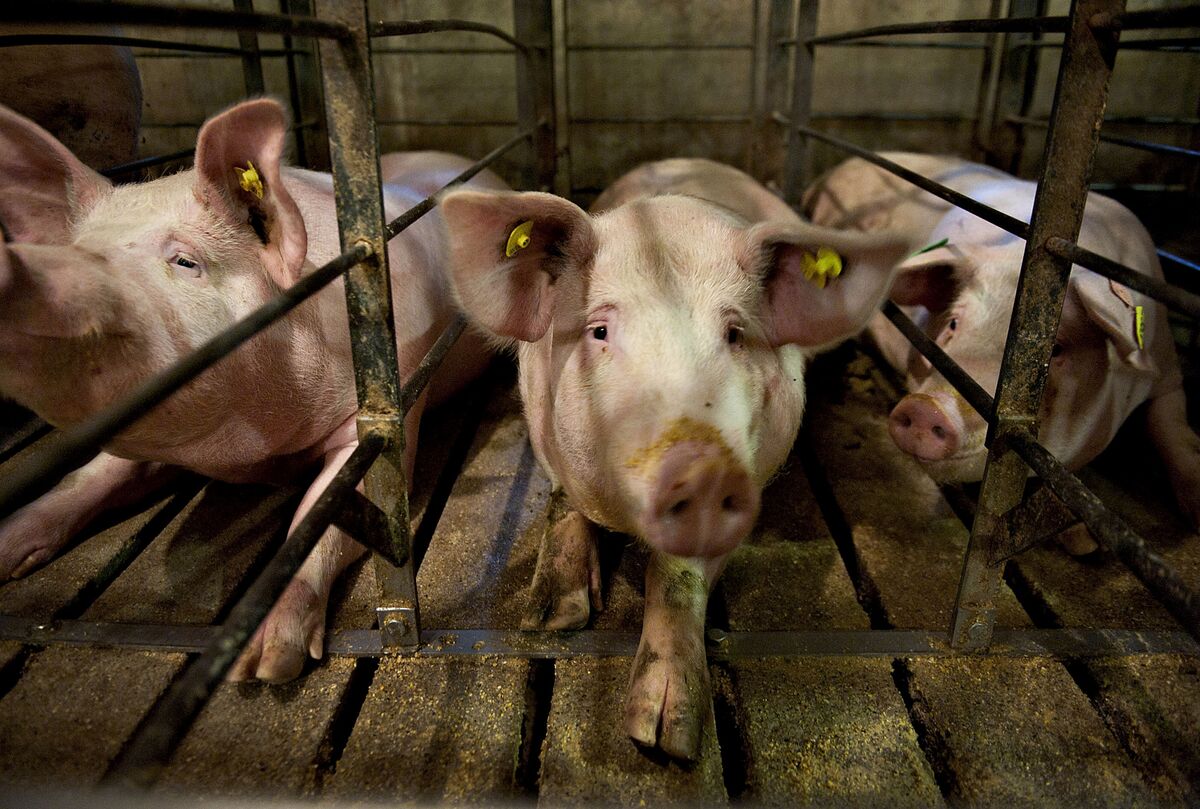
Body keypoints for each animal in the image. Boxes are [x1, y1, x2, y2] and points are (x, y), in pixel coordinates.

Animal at [0, 98, 498, 681]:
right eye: (79, 248)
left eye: (185, 260)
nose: (20, 268)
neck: (250, 454)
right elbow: (88, 477)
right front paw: (5, 548)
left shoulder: (382, 421)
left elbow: (318, 515)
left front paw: (261, 668)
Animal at [439, 157, 910, 759]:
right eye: (599, 330)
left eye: (734, 333)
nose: (702, 470)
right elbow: (563, 502)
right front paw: (550, 621)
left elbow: (676, 577)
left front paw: (663, 737)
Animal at [804, 152, 1200, 546]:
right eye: (953, 323)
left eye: (1055, 351)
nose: (926, 407)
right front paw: (1084, 543)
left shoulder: (1167, 364)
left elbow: (1171, 424)